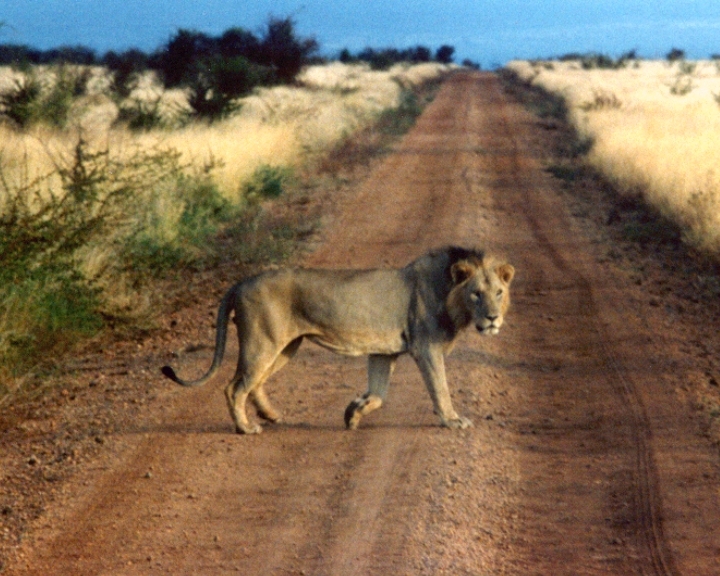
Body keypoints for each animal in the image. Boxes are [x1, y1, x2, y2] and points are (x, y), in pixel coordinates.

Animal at [161, 246, 515, 434]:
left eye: (499, 292)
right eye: (476, 293)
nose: (493, 318)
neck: (448, 293)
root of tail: (241, 282)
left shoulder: (383, 352)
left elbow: (378, 394)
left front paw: (353, 413)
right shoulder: (426, 348)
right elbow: (440, 388)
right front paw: (453, 420)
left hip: (285, 347)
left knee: (255, 382)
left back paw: (270, 415)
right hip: (262, 342)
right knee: (234, 387)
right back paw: (245, 428)